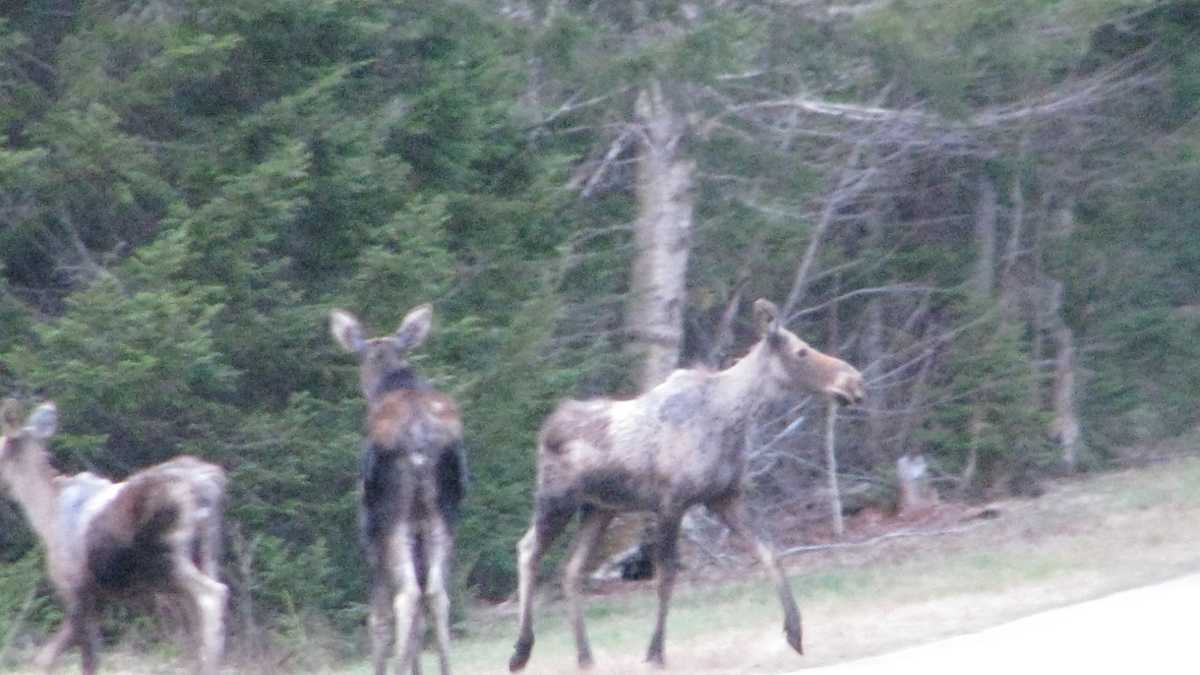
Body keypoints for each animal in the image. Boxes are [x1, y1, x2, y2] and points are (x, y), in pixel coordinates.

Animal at [0, 399, 227, 675]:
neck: (46, 514)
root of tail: (209, 485)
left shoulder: (75, 585)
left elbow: (73, 658)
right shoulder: (98, 595)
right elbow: (60, 657)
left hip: (170, 555)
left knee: (213, 594)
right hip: (207, 553)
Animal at [330, 304, 467, 675]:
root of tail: (418, 437)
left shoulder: (370, 535)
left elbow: (377, 617)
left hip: (393, 520)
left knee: (406, 597)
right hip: (441, 518)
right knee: (436, 594)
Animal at [508, 298, 865, 671]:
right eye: (801, 352)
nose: (855, 382)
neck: (733, 420)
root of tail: (546, 430)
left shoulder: (726, 497)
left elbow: (769, 552)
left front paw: (795, 631)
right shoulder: (672, 501)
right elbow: (666, 576)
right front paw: (655, 653)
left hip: (599, 508)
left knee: (571, 569)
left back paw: (585, 657)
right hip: (556, 498)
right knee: (528, 548)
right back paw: (521, 651)